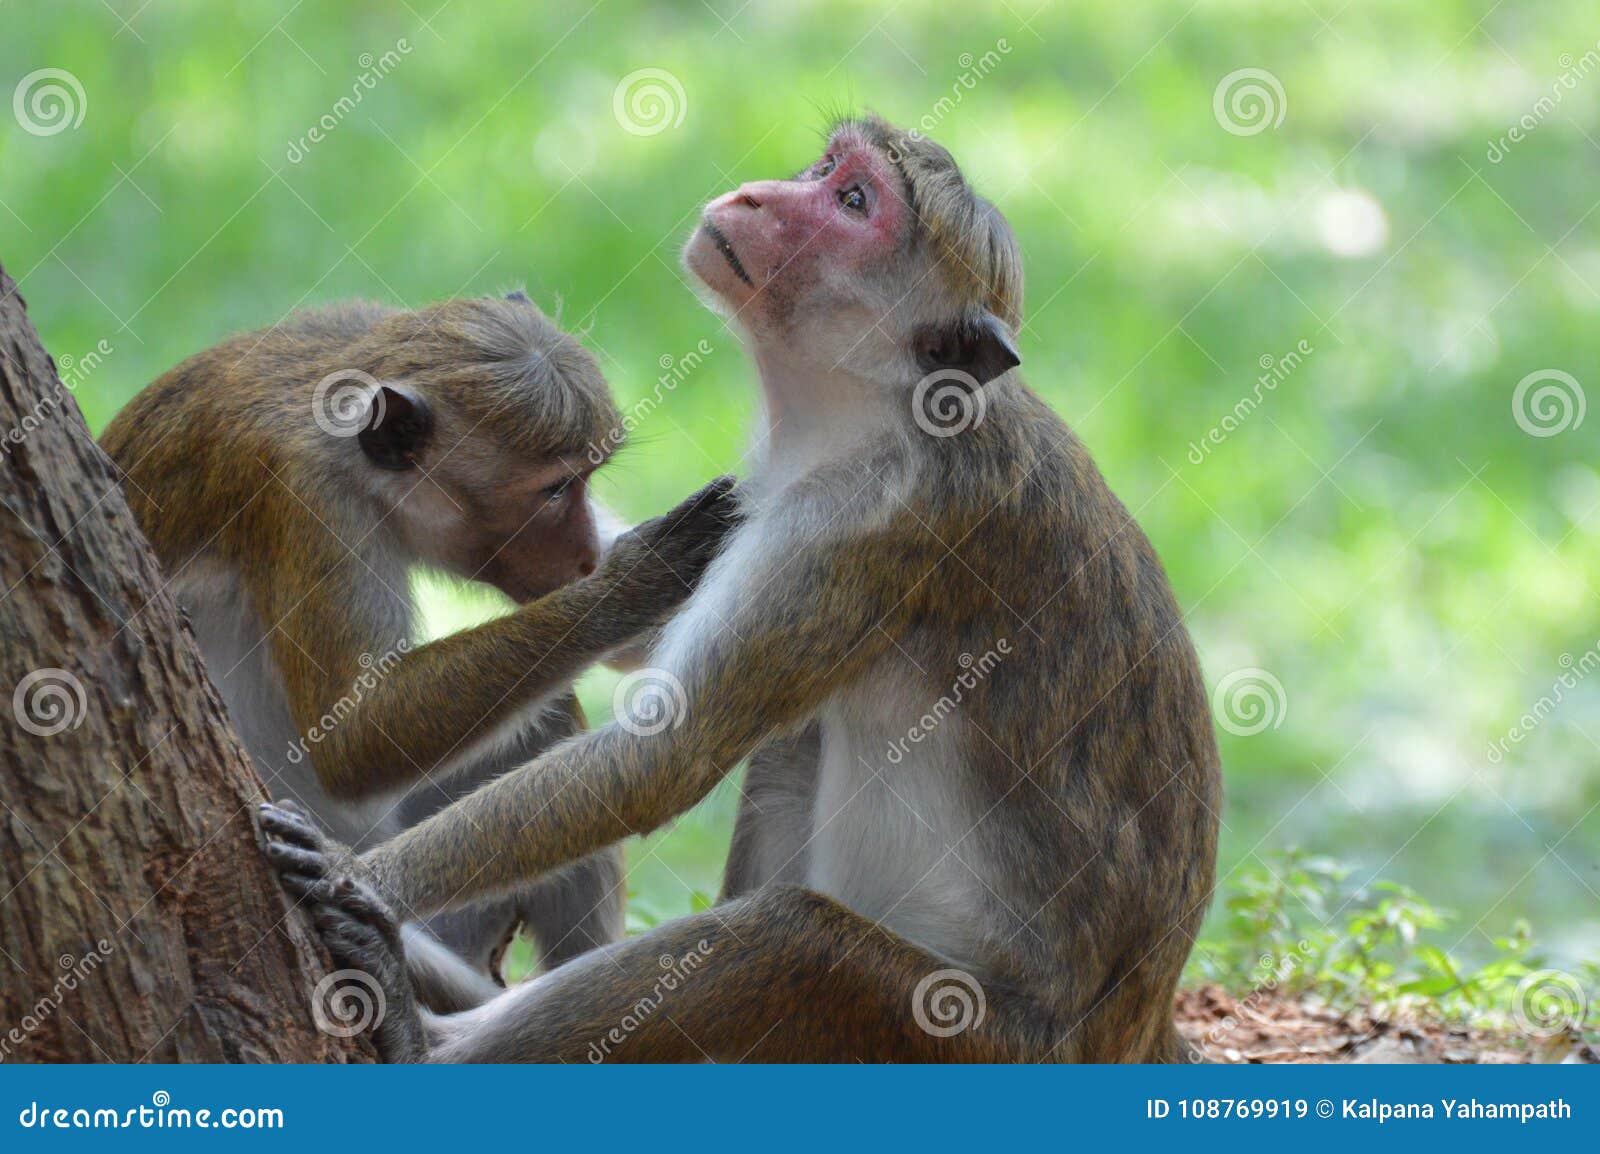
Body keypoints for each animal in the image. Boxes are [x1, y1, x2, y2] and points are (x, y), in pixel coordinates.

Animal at [101, 294, 739, 1006]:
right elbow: (353, 736)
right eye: (553, 490)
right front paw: (632, 581)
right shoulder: (303, 497)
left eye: (588, 478)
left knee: (544, 717)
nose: (583, 560)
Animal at [261, 115, 1222, 1062]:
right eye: (827, 168)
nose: (760, 194)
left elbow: (662, 759)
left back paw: (410, 1033)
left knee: (781, 942)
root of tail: (1140, 1034)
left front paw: (361, 877)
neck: (879, 409)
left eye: (853, 202)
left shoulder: (857, 528)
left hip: (962, 1037)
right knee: (790, 750)